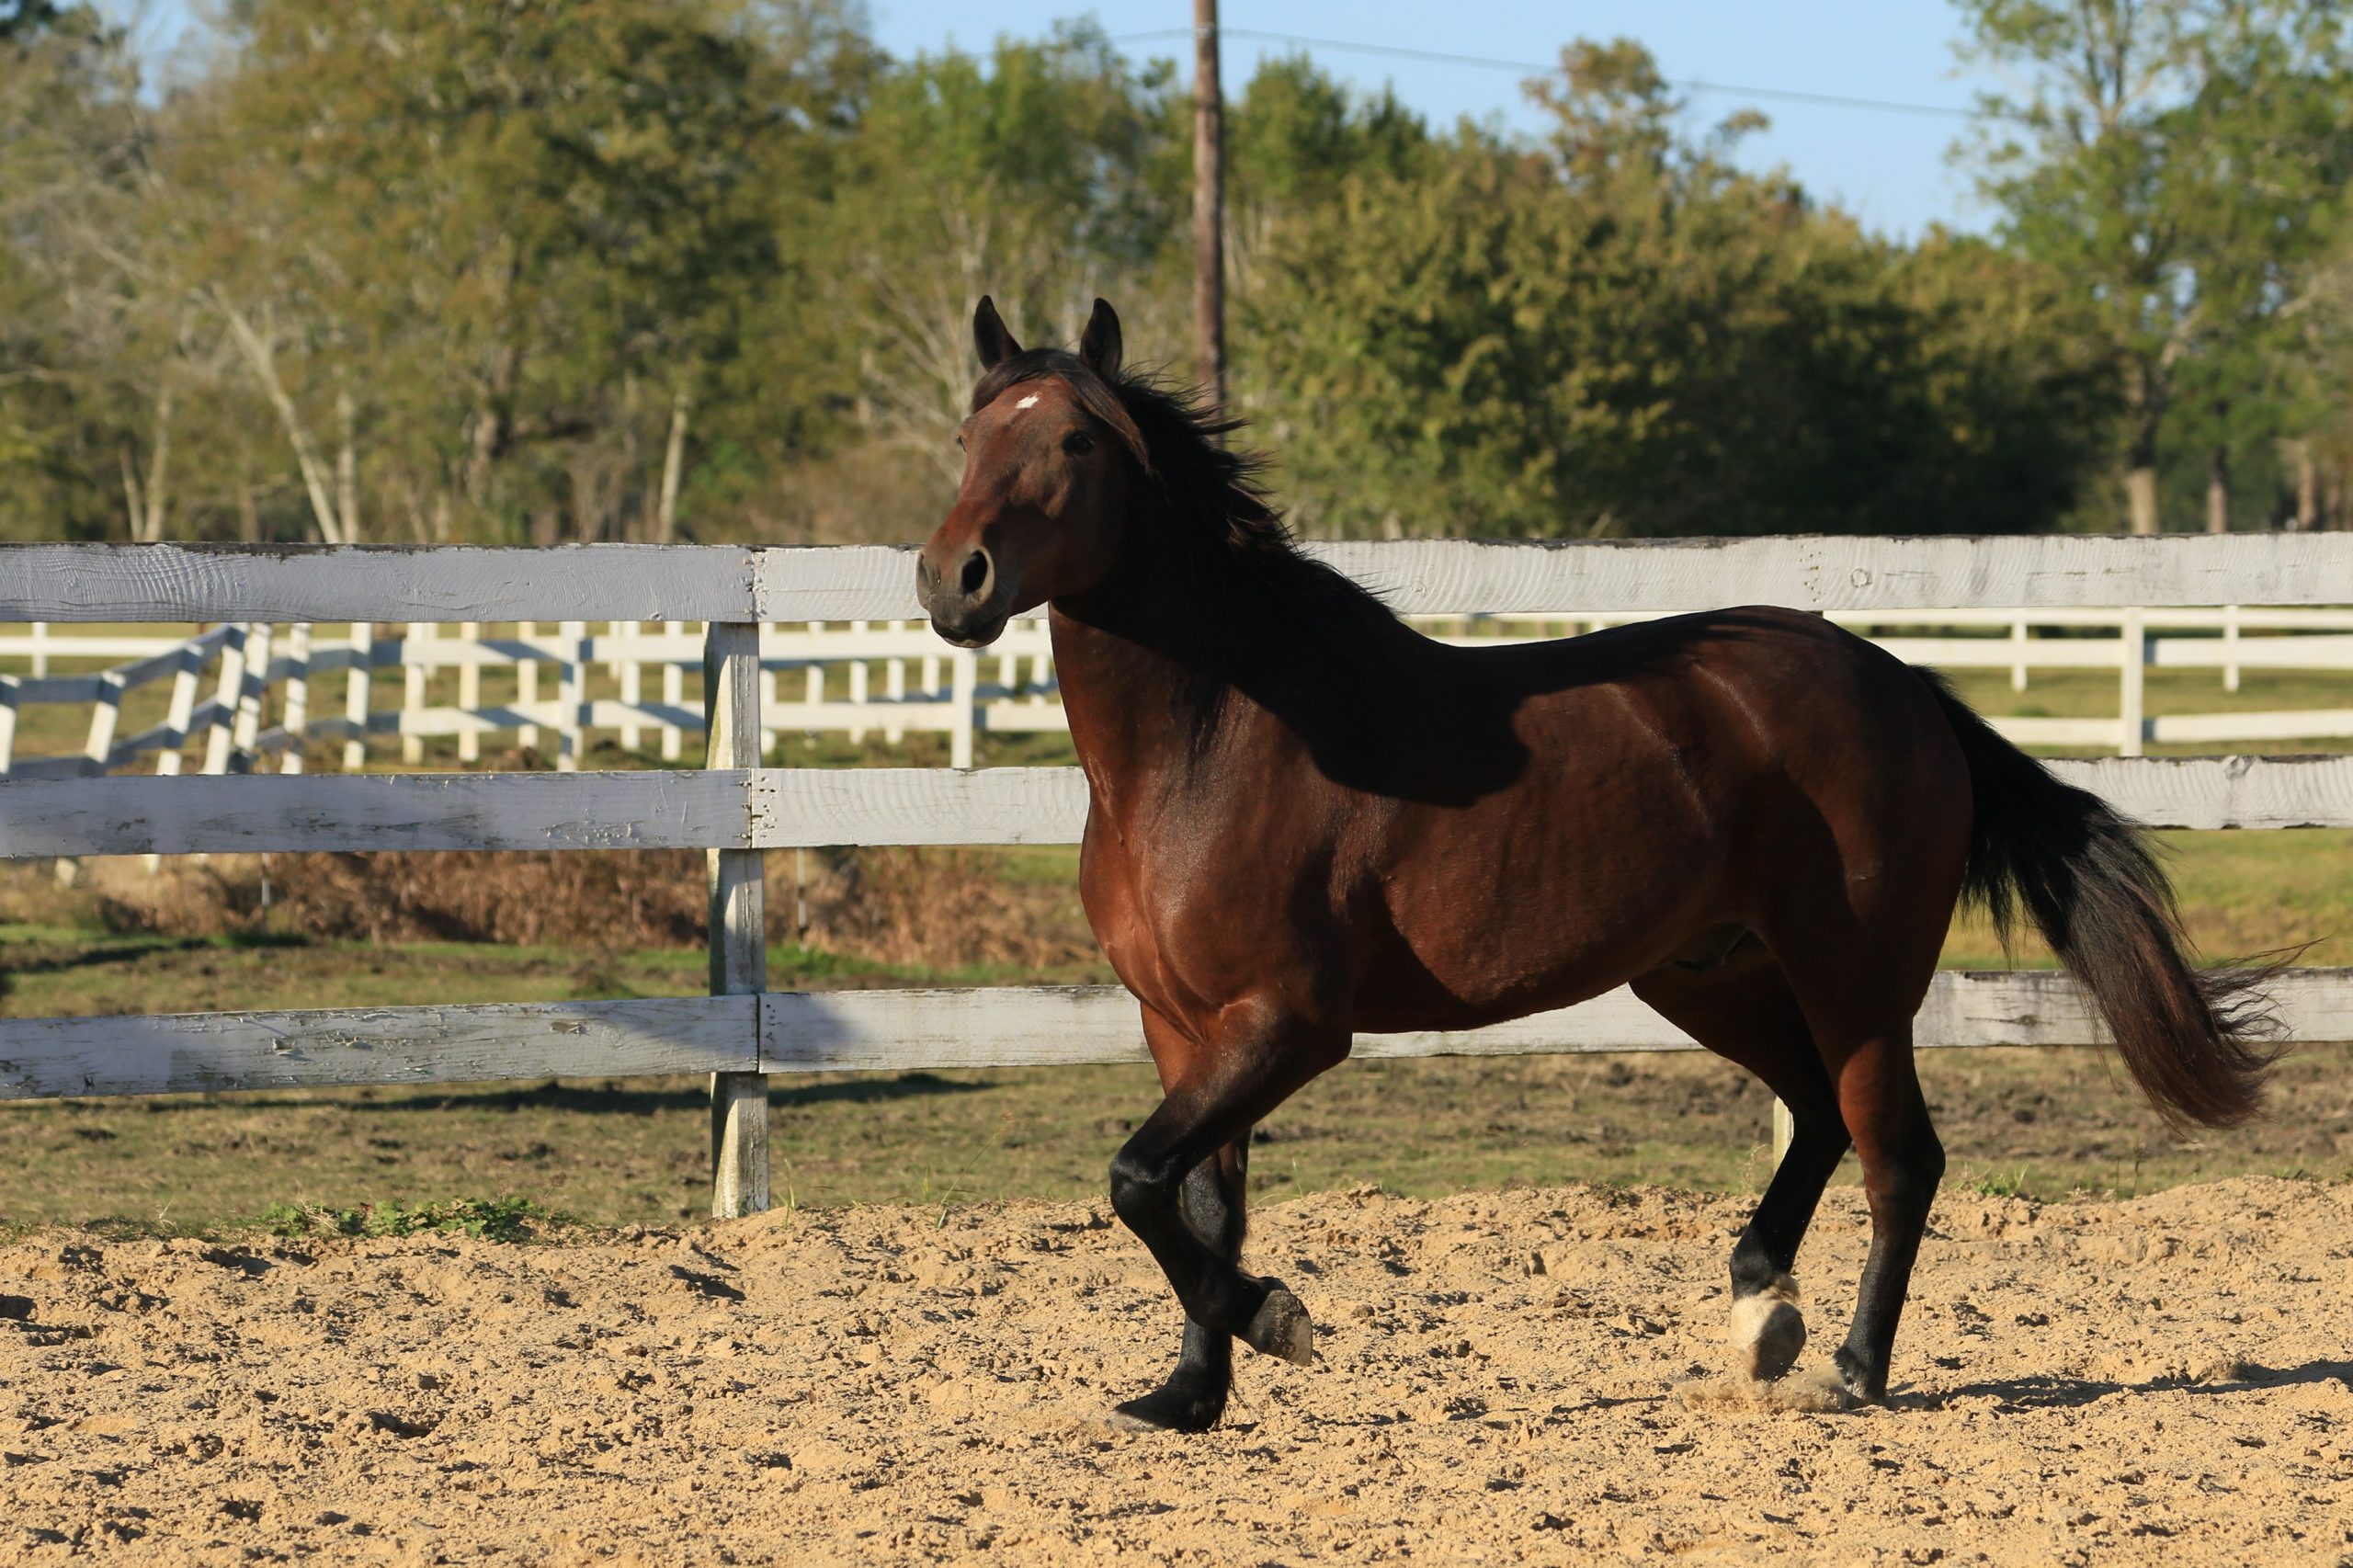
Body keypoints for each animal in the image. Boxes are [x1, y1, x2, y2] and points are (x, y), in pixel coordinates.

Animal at [914, 295, 2275, 1433]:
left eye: (1077, 442)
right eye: (968, 433)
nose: (952, 579)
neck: (1217, 741)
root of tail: (1903, 685)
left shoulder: (1287, 1023)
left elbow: (1139, 1179)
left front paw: (1275, 1318)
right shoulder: (1182, 1026)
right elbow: (1193, 1197)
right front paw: (1188, 1394)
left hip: (1854, 977)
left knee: (1899, 1155)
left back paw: (1850, 1366)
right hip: (1706, 972)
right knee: (1817, 1117)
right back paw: (1760, 1311)